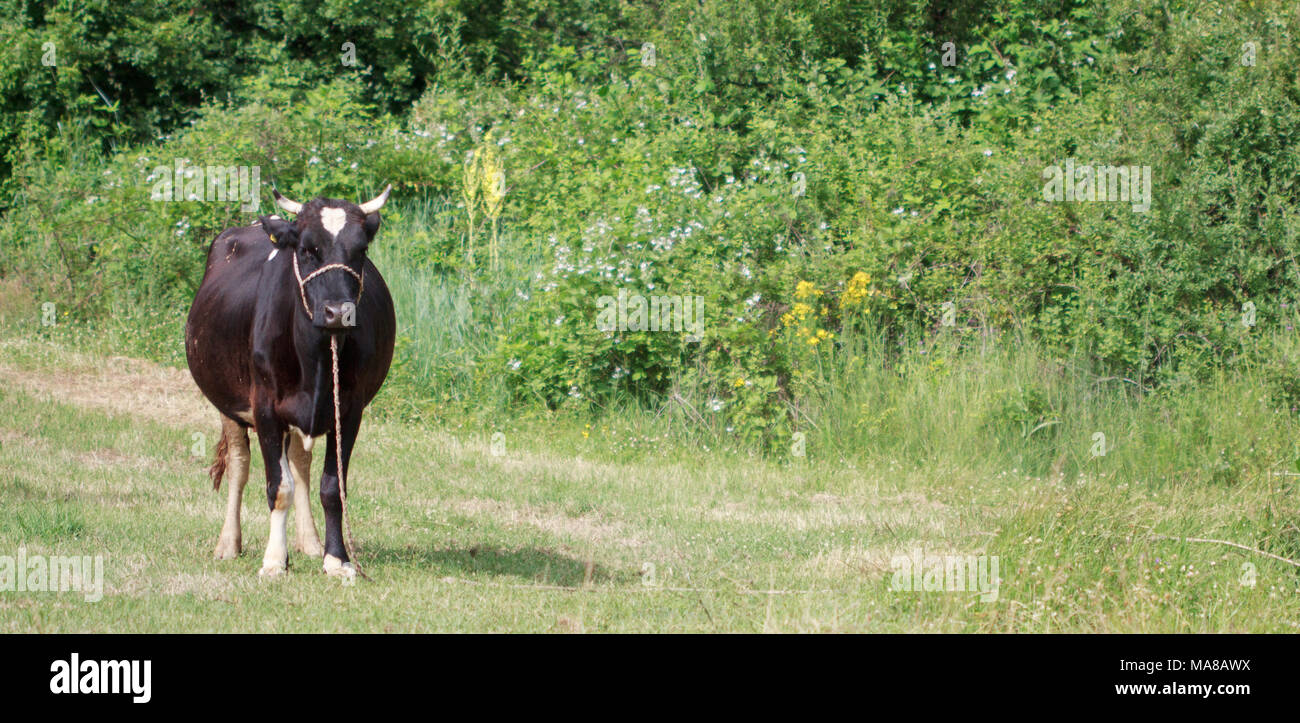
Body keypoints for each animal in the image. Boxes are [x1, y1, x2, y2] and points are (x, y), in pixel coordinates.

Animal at [185, 185, 396, 578]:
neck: (316, 354)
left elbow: (331, 487)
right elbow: (277, 487)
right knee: (239, 465)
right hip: (228, 404)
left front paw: (335, 558)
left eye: (360, 250)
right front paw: (273, 560)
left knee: (300, 464)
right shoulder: (265, 407)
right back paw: (228, 544)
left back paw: (310, 542)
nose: (338, 312)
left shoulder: (350, 411)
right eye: (307, 249)